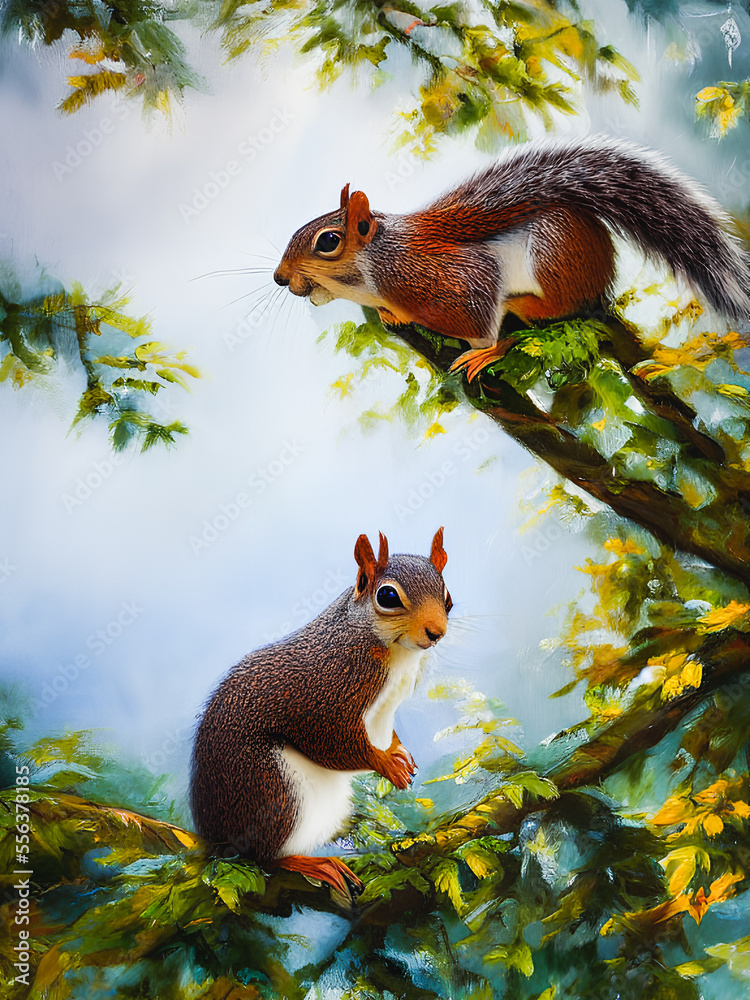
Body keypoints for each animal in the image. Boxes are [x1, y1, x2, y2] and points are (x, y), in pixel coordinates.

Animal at [190, 529, 451, 894]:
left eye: (448, 597)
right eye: (387, 596)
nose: (436, 633)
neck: (394, 651)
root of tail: (214, 839)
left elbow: (387, 734)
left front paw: (399, 752)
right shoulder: (326, 696)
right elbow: (334, 742)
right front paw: (385, 763)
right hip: (273, 791)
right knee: (262, 857)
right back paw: (313, 863)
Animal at [273, 135, 750, 380]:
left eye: (328, 242)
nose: (280, 277)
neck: (379, 266)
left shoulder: (456, 281)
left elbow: (483, 322)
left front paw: (484, 352)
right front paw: (392, 315)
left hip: (550, 257)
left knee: (559, 308)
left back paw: (526, 307)